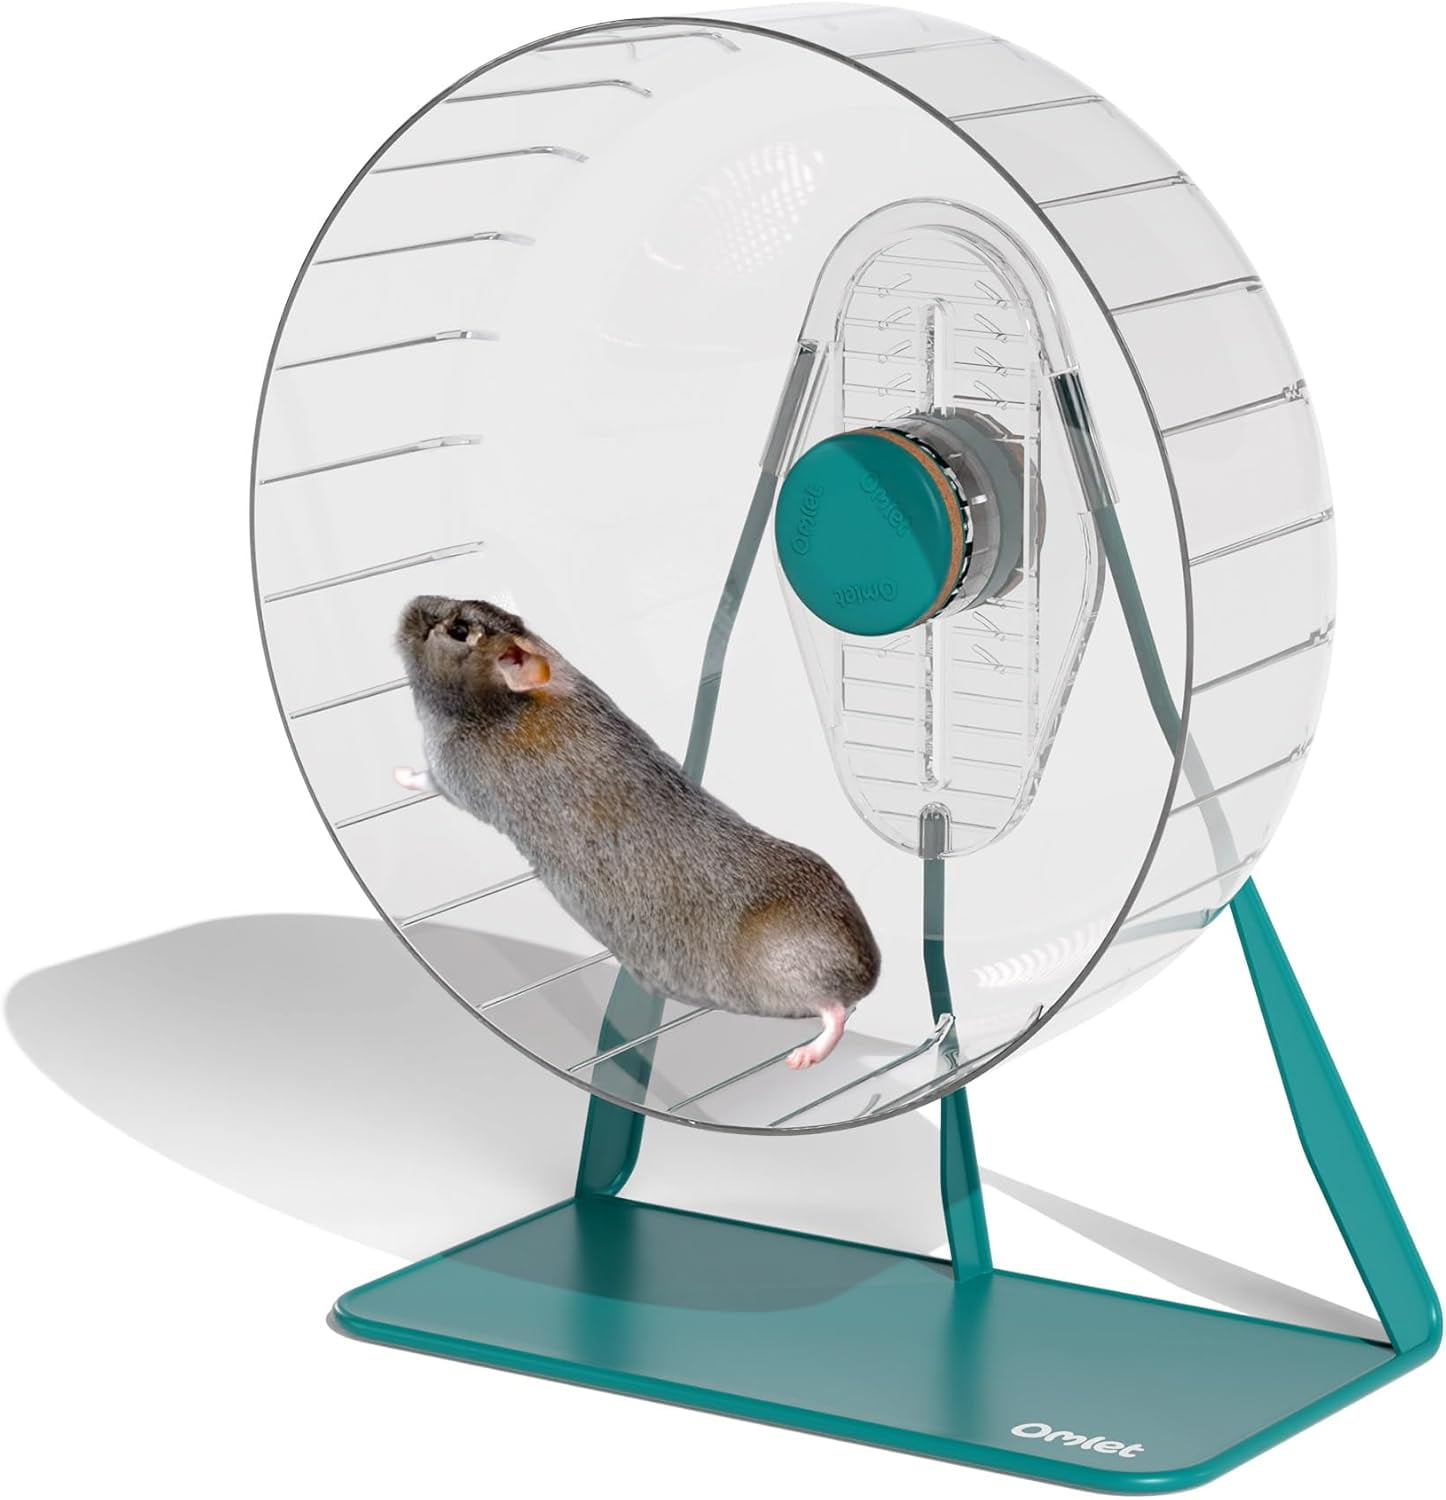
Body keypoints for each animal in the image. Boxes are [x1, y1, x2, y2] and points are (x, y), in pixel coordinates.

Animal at [393, 595, 881, 1068]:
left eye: (458, 630)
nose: (409, 604)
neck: (498, 704)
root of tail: (867, 970)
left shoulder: (452, 775)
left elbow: (428, 780)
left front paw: (398, 773)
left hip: (787, 976)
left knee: (834, 1014)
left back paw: (803, 1057)